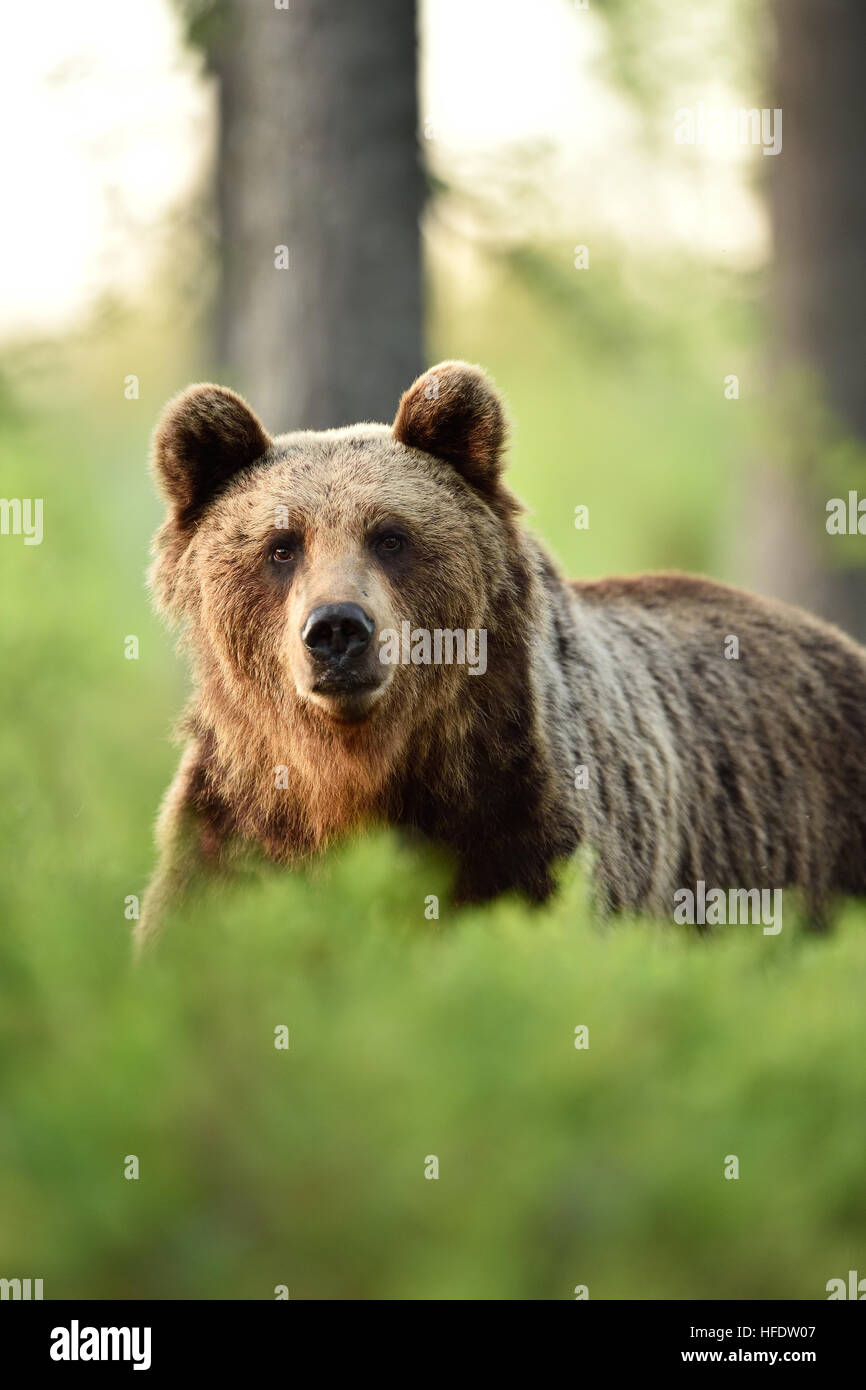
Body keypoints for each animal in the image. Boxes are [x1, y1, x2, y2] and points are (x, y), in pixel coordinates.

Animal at [138, 359, 866, 948]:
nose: (338, 628)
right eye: (282, 546)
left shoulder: (523, 819)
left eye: (390, 536)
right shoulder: (232, 831)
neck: (356, 777)